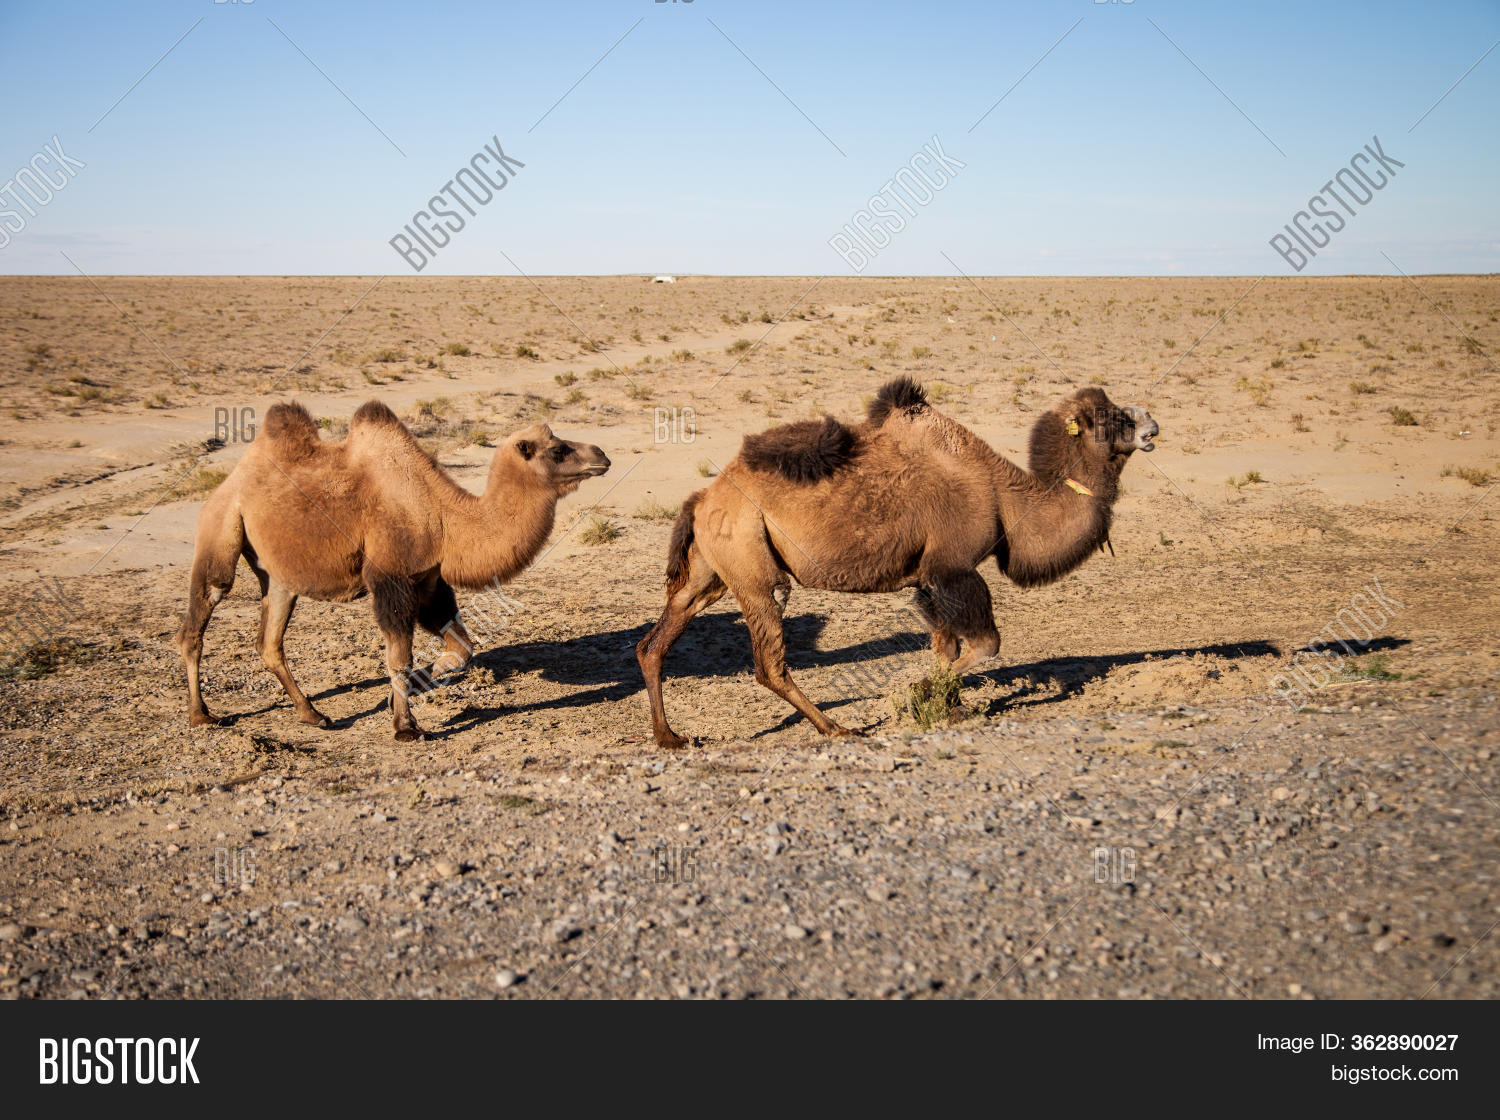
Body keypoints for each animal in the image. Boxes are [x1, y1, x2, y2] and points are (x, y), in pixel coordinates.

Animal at [177, 400, 609, 740]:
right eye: (558, 450)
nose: (602, 455)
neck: (445, 518)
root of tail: (228, 482)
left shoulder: (429, 582)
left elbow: (462, 648)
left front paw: (403, 694)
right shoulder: (391, 578)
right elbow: (399, 657)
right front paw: (406, 727)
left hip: (279, 573)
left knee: (269, 640)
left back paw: (313, 715)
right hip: (221, 527)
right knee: (201, 614)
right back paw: (201, 715)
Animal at [636, 377, 1158, 748]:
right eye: (1112, 417)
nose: (1153, 425)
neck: (1002, 495)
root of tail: (703, 497)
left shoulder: (928, 578)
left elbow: (945, 646)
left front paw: (950, 707)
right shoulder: (954, 565)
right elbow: (986, 644)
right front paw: (922, 694)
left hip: (711, 570)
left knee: (655, 640)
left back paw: (670, 737)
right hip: (751, 561)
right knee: (768, 661)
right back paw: (836, 728)